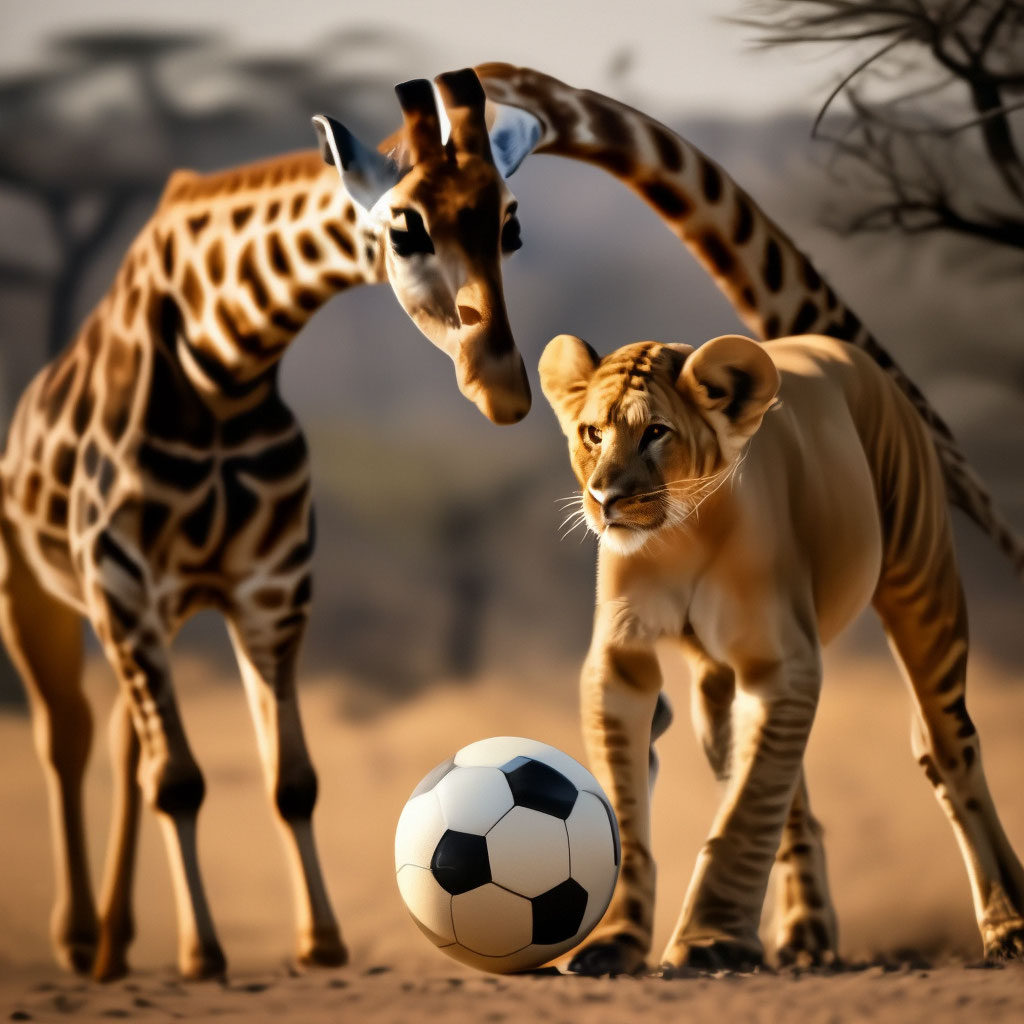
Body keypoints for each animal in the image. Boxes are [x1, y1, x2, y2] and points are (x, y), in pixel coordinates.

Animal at [0, 68, 529, 981]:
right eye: (405, 228)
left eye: (512, 226)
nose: (502, 387)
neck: (225, 368)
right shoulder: (120, 575)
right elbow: (180, 779)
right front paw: (204, 954)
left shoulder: (269, 586)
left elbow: (291, 779)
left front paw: (321, 941)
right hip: (37, 594)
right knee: (67, 734)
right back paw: (78, 939)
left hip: (157, 609)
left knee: (125, 746)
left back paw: (116, 942)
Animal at [470, 63, 1024, 972]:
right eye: (591, 433)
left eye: (656, 433)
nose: (606, 499)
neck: (681, 534)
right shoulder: (623, 660)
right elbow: (635, 805)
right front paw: (616, 940)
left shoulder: (784, 659)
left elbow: (744, 811)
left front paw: (705, 940)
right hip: (720, 679)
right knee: (775, 776)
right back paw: (803, 935)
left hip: (922, 589)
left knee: (946, 749)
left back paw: (1005, 923)